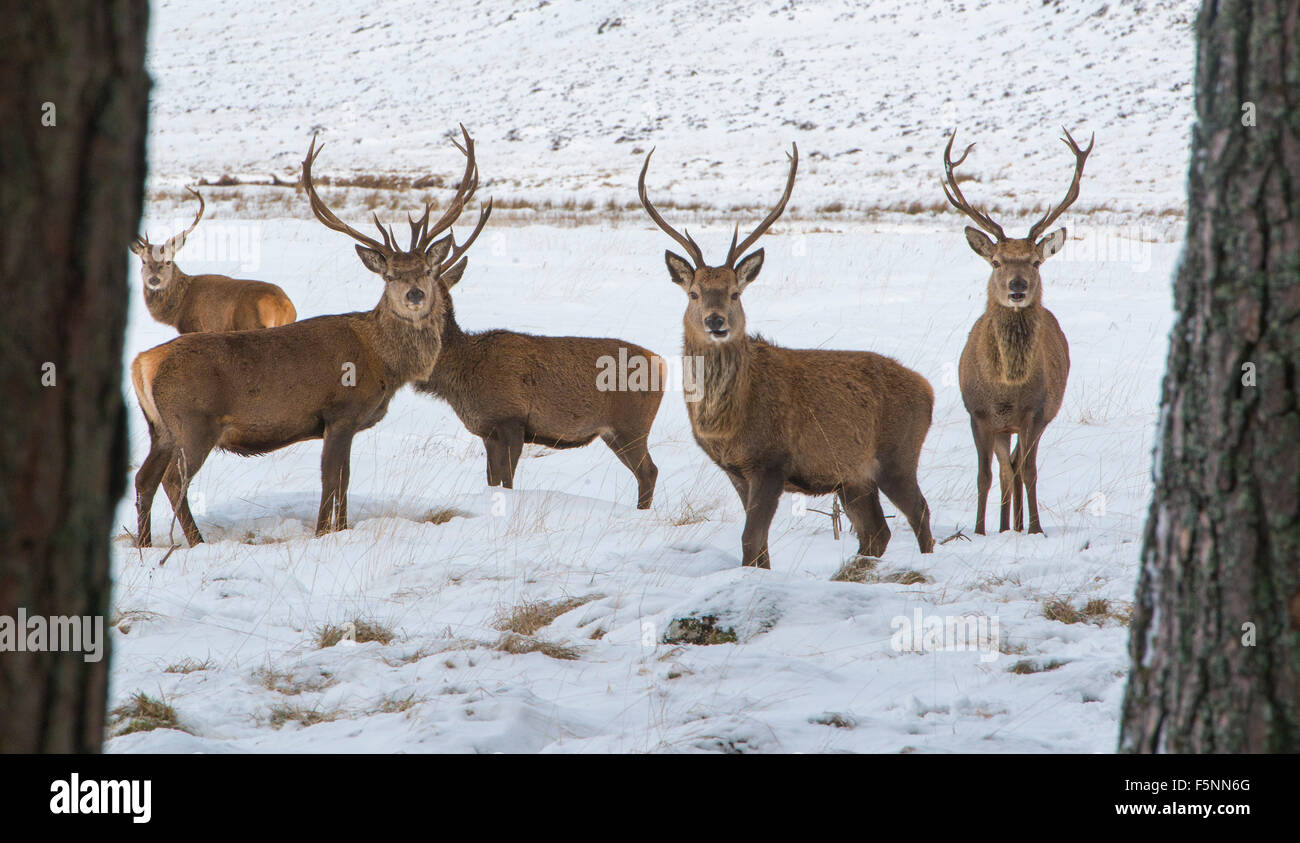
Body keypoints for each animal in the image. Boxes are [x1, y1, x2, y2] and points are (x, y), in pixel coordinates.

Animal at [129, 188, 297, 332]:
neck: (178, 309)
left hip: (250, 324)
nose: (154, 280)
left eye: (168, 261)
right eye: (144, 261)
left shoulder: (193, 327)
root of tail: (282, 304)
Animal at [638, 144, 936, 568]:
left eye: (735, 293)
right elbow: (759, 546)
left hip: (898, 455)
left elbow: (750, 540)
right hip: (853, 475)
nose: (715, 321)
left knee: (920, 513)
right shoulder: (736, 470)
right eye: (694, 293)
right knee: (877, 531)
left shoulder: (770, 461)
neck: (727, 421)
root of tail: (928, 389)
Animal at [941, 128, 1090, 536]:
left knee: (1018, 467)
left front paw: (1035, 529)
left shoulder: (1035, 412)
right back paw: (1005, 525)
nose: (1018, 287)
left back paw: (1018, 525)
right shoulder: (977, 413)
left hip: (1036, 419)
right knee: (1006, 469)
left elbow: (1029, 472)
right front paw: (979, 530)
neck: (1006, 388)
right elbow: (984, 476)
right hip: (1001, 428)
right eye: (996, 261)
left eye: (1036, 261)